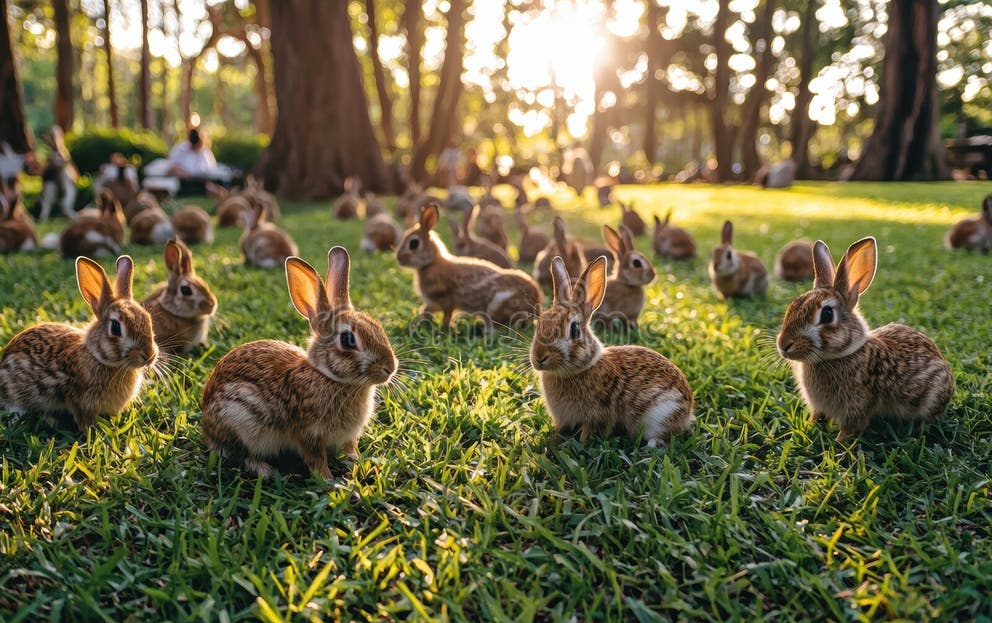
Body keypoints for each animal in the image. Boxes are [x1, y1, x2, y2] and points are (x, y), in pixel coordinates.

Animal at [0, 255, 158, 431]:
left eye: (148, 320)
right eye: (116, 327)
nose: (149, 356)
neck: (97, 357)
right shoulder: (81, 403)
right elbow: (84, 420)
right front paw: (92, 432)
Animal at [201, 246, 396, 478]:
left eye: (378, 327)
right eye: (348, 340)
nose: (390, 368)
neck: (328, 376)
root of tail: (207, 426)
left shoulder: (348, 436)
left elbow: (349, 449)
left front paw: (356, 462)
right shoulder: (309, 435)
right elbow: (316, 459)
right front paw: (329, 479)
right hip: (239, 419)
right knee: (244, 455)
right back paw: (265, 470)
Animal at [396, 203, 542, 329]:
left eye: (414, 244)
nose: (398, 259)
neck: (431, 262)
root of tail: (535, 307)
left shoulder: (446, 300)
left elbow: (447, 315)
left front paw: (444, 328)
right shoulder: (433, 303)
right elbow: (425, 310)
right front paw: (421, 321)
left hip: (496, 306)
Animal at [530, 255, 694, 446]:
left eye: (574, 330)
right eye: (540, 322)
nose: (539, 357)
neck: (580, 369)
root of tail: (689, 412)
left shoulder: (596, 417)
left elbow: (588, 432)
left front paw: (580, 442)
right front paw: (554, 439)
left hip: (659, 414)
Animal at [776, 237, 954, 440]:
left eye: (827, 314)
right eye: (791, 307)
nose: (783, 345)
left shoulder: (856, 408)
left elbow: (850, 429)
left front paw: (837, 442)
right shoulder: (819, 407)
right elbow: (816, 417)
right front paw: (805, 429)